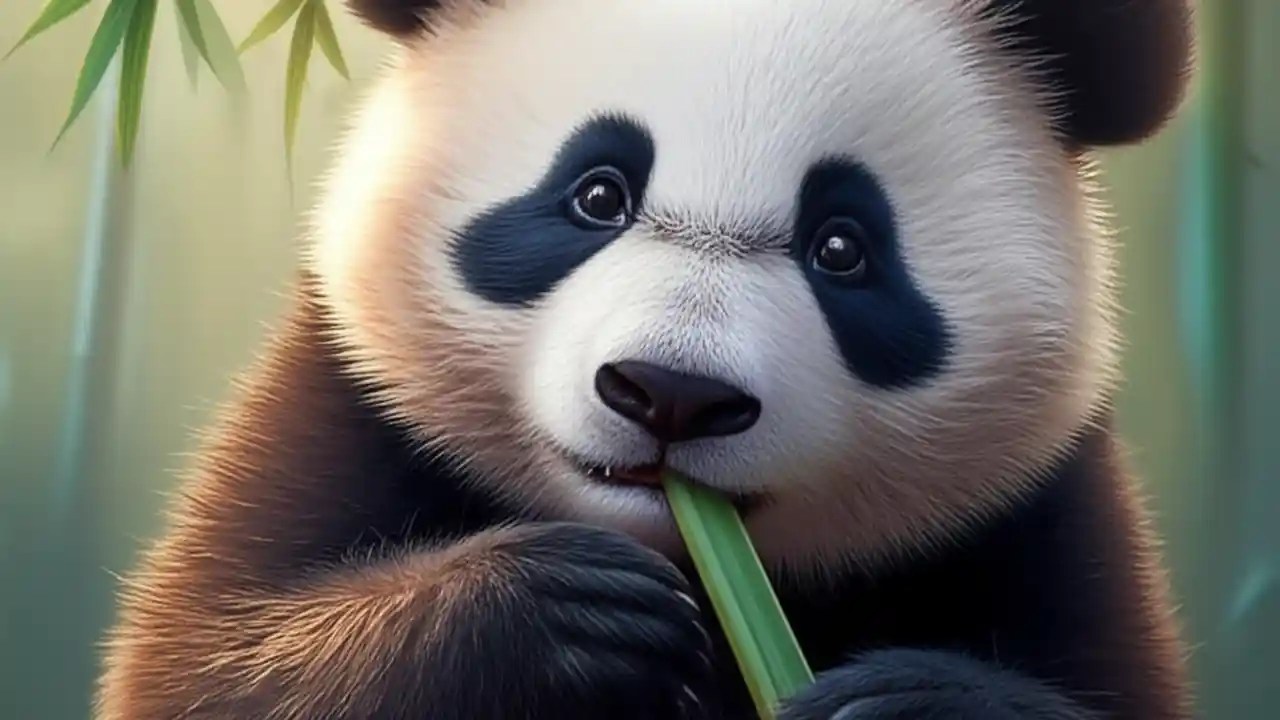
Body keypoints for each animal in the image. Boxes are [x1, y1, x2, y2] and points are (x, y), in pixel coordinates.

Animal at [96, 0, 1197, 718]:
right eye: (596, 193)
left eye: (842, 247)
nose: (671, 394)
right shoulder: (346, 399)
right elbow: (196, 664)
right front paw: (567, 616)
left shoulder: (1038, 507)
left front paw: (906, 700)